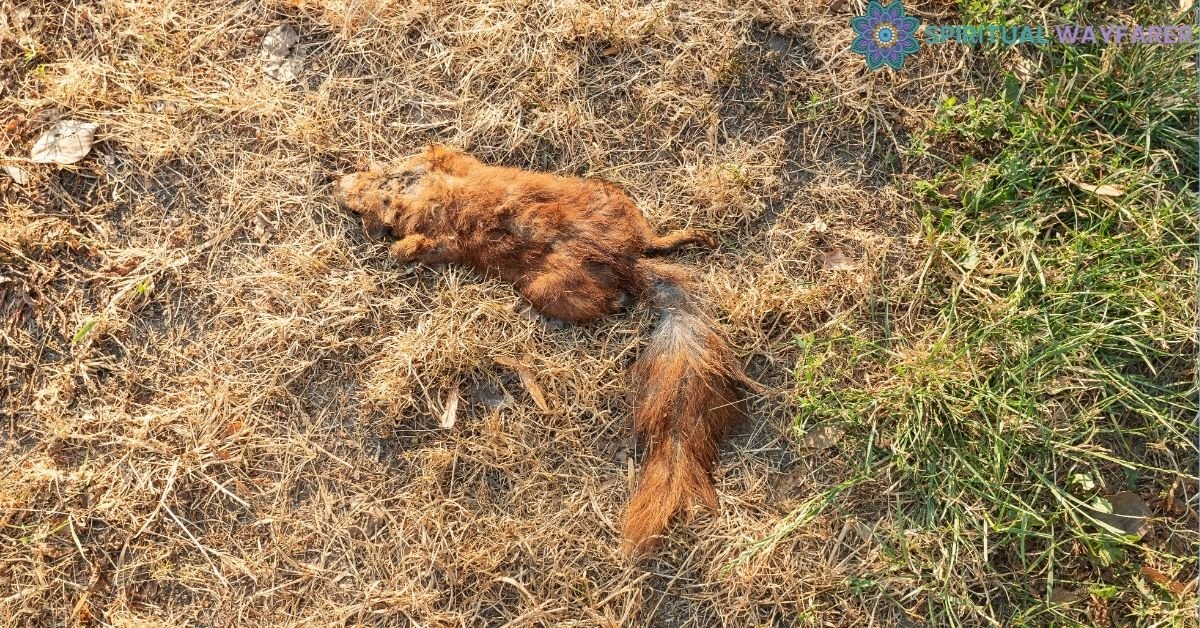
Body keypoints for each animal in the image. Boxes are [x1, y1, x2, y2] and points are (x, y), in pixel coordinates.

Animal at [334, 145, 751, 554]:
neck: (427, 197)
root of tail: (625, 264)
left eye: (379, 183)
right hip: (614, 205)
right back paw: (699, 237)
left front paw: (397, 242)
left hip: (556, 282)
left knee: (622, 283)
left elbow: (417, 240)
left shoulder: (444, 232)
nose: (339, 183)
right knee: (651, 242)